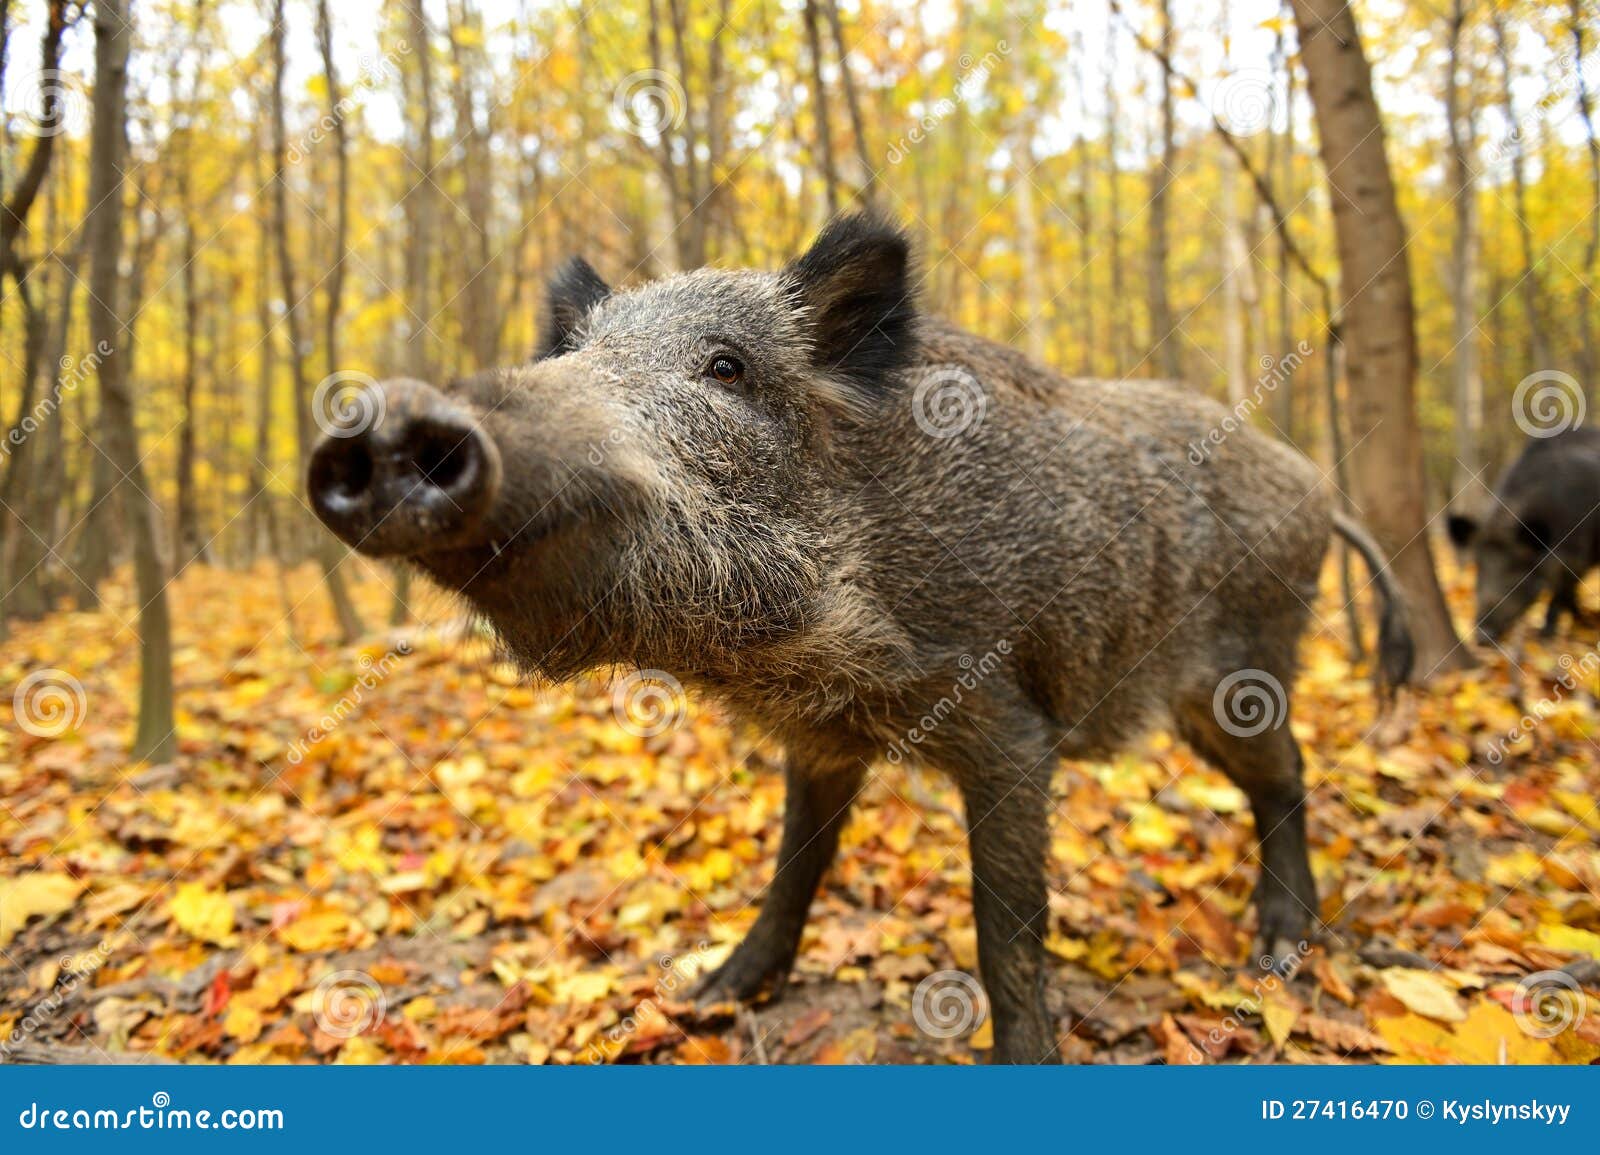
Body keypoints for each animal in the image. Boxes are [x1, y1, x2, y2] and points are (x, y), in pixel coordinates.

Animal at [307, 214, 1412, 1063]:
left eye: (726, 367)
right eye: (570, 358)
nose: (388, 424)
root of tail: (1316, 487)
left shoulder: (1010, 729)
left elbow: (1007, 931)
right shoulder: (821, 740)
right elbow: (796, 864)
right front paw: (712, 994)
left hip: (1241, 671)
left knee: (1288, 772)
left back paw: (1277, 952)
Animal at [1447, 427, 1600, 642]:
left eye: (1516, 571)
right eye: (1478, 567)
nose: (1483, 636)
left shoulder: (1576, 554)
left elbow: (1561, 591)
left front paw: (1546, 637)